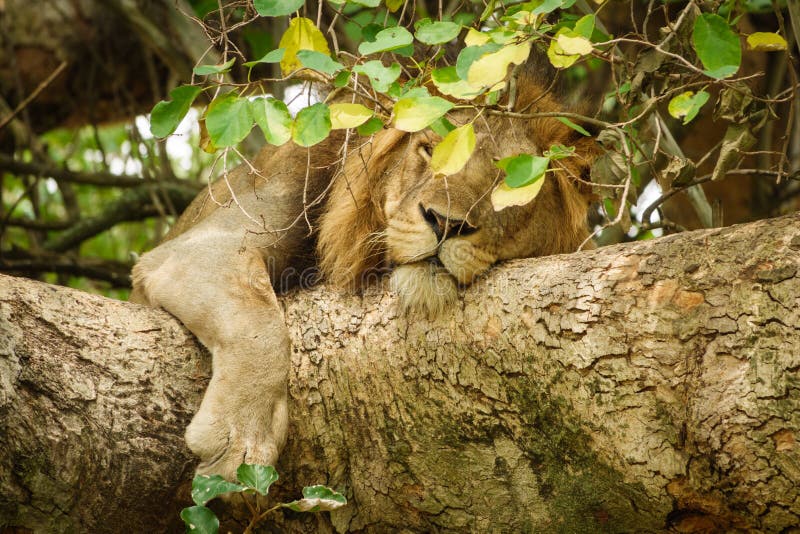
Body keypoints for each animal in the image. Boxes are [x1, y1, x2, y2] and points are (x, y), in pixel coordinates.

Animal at [129, 71, 598, 482]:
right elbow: (259, 326)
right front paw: (241, 441)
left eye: (511, 179)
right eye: (428, 150)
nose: (445, 223)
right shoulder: (199, 248)